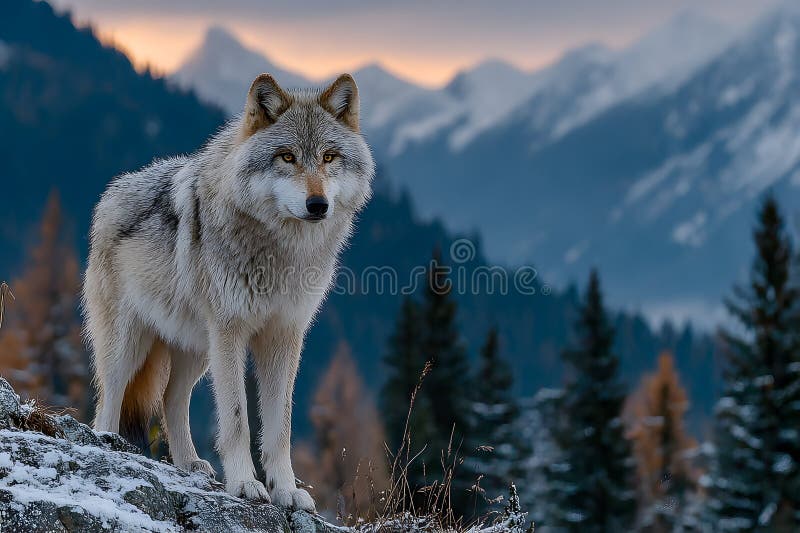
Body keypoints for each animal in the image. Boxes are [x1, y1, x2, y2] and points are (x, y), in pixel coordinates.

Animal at [82, 73, 374, 510]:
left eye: (328, 157)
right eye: (287, 157)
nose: (317, 204)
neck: (281, 254)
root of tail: (111, 193)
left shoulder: (284, 338)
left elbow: (280, 428)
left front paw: (286, 490)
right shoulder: (231, 333)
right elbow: (236, 419)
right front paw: (244, 484)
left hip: (198, 351)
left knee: (170, 399)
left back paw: (189, 464)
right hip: (132, 345)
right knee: (108, 399)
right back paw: (106, 442)